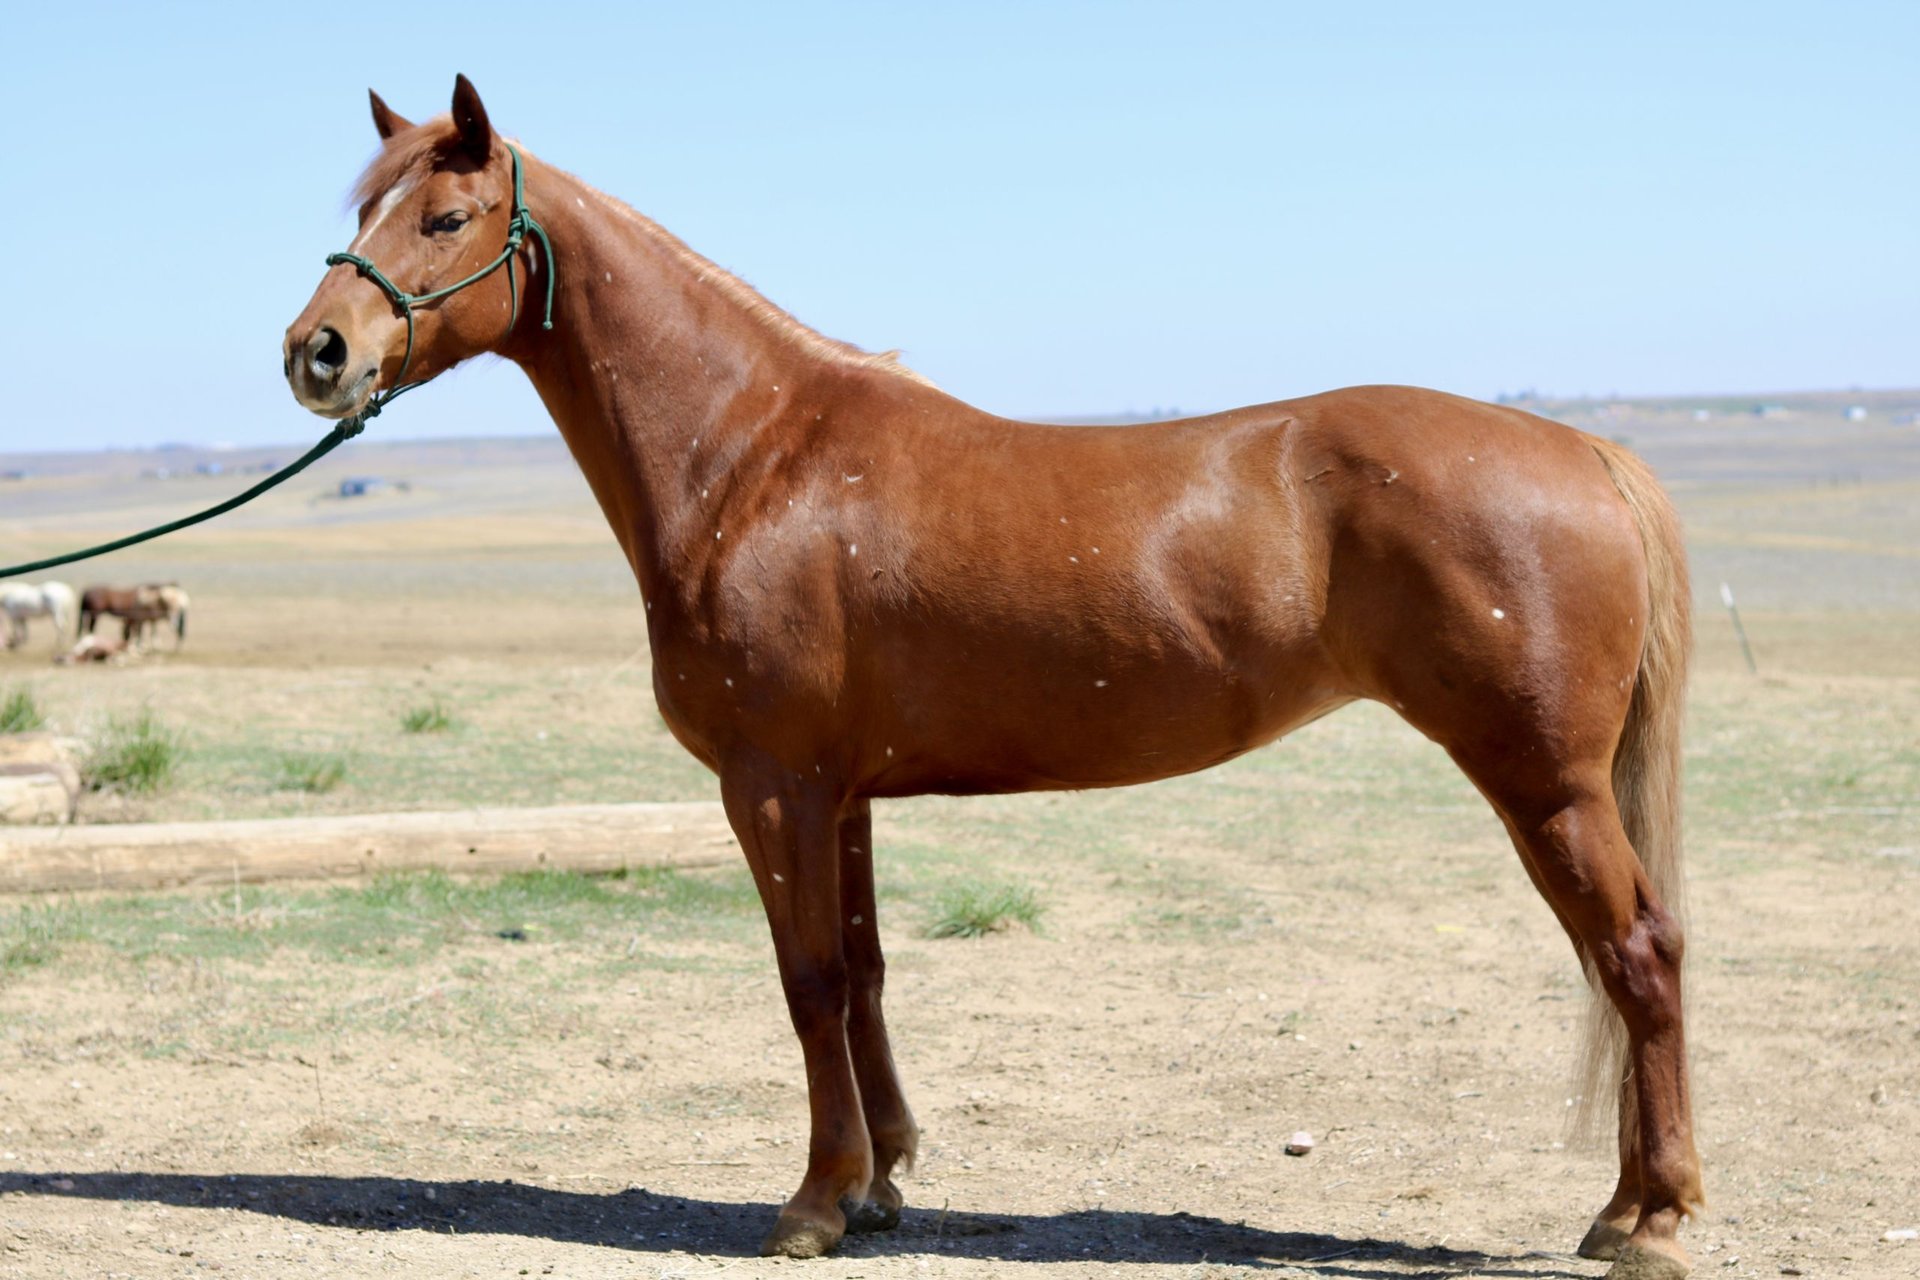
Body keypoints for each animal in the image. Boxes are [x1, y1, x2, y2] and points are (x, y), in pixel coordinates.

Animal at [283, 78, 1701, 1278]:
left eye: (447, 216)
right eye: (360, 213)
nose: (316, 352)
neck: (754, 457)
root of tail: (1583, 449)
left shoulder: (771, 784)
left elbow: (807, 982)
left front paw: (812, 1204)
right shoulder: (842, 792)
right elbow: (860, 973)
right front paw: (879, 1183)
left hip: (1544, 782)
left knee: (1638, 950)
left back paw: (1654, 1217)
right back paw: (1626, 1206)